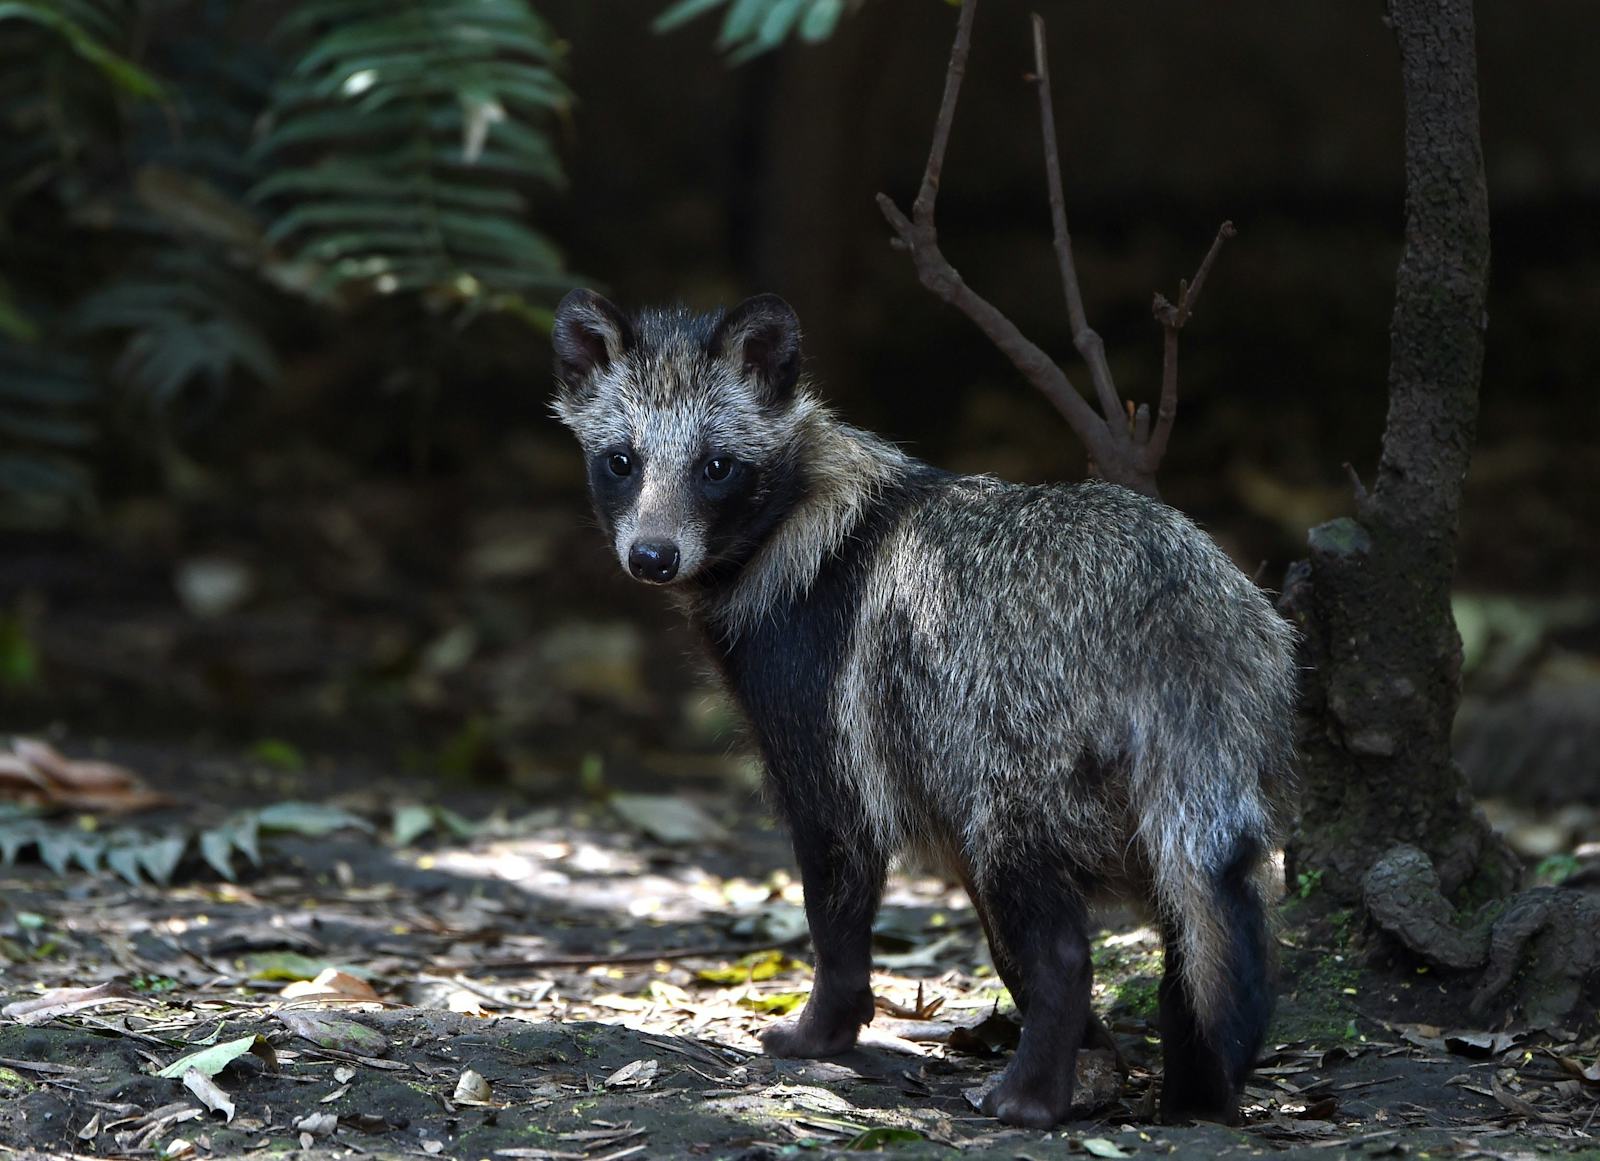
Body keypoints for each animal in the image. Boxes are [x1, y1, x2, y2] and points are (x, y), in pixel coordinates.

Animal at [550, 289, 1297, 1128]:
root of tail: (1176, 615)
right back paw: (1200, 1082)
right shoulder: (923, 749)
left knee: (1063, 933)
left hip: (1021, 757)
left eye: (717, 467)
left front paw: (827, 1024)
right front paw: (1094, 1043)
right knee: (1210, 919)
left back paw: (1035, 1090)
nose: (652, 556)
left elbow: (838, 884)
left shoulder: (826, 712)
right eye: (622, 460)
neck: (798, 514)